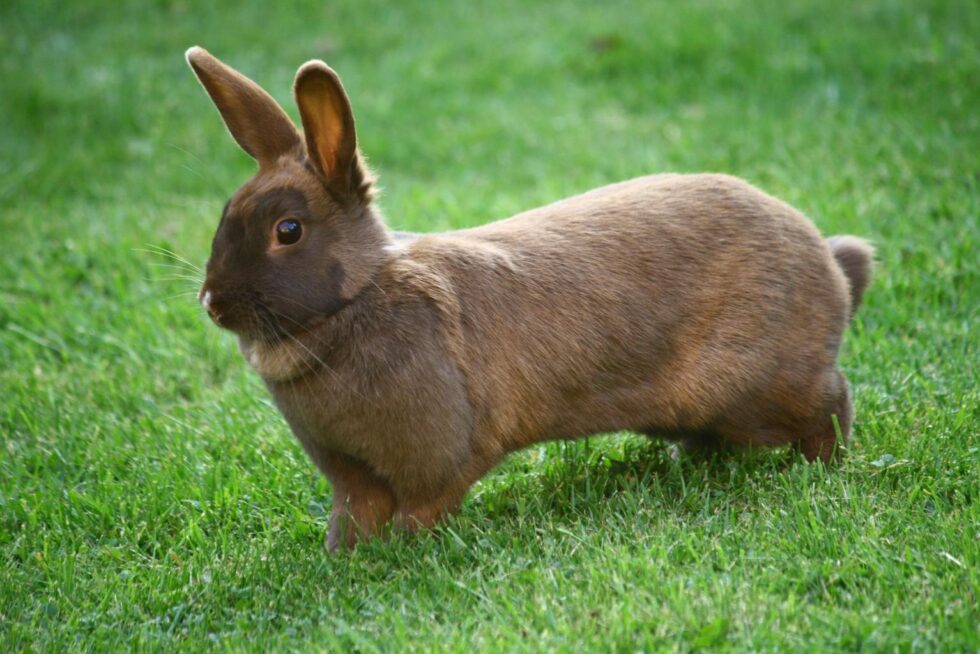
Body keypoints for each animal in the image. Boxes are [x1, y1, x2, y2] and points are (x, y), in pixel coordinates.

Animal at [185, 47, 874, 551]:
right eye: (224, 214)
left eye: (288, 231)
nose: (212, 303)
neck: (357, 295)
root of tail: (829, 267)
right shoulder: (353, 478)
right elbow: (355, 514)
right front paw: (343, 557)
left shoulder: (433, 461)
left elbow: (423, 506)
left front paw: (402, 552)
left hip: (757, 387)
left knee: (831, 399)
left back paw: (822, 467)